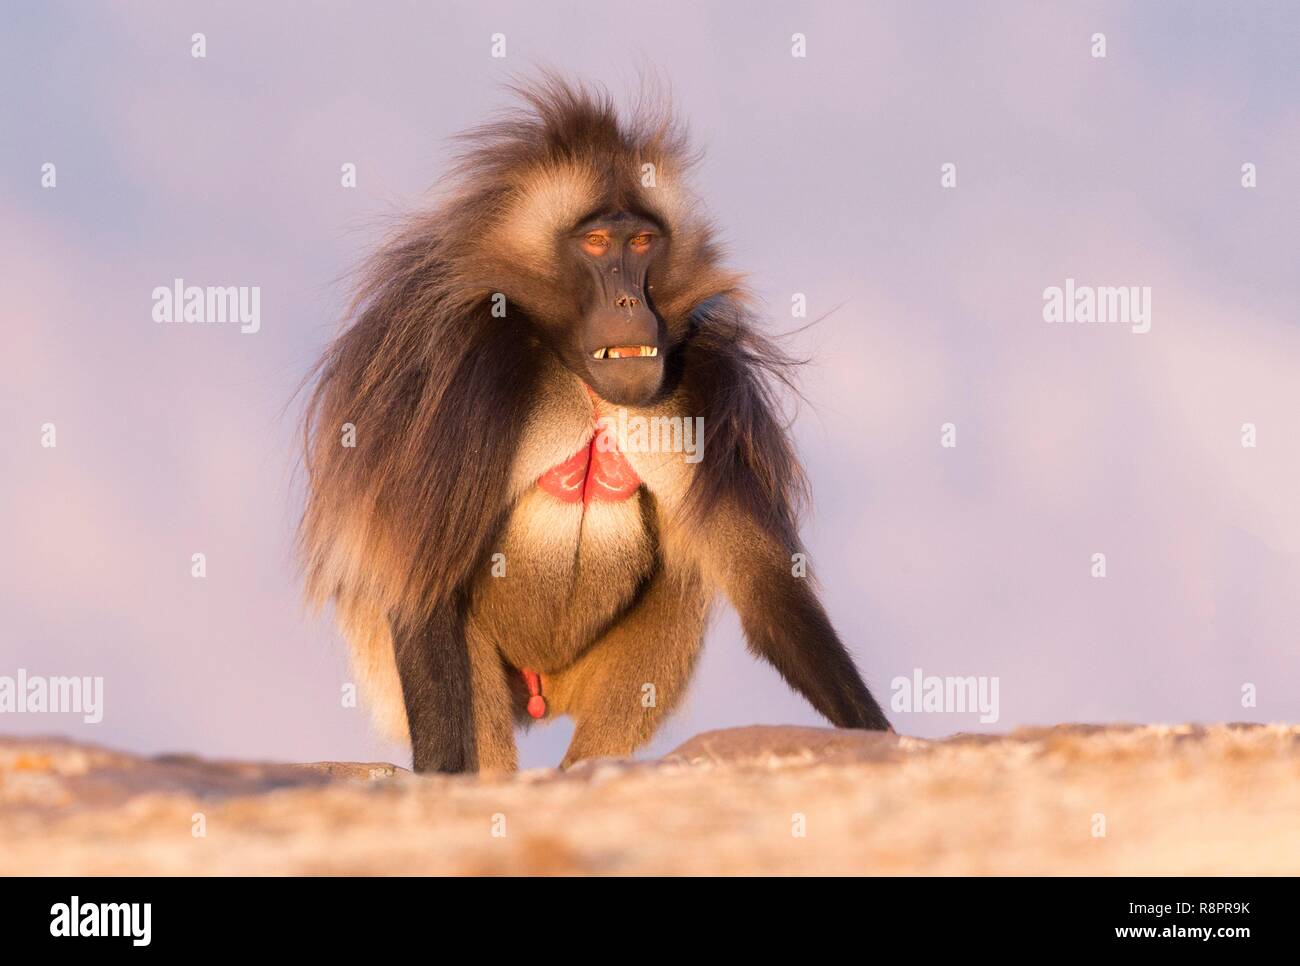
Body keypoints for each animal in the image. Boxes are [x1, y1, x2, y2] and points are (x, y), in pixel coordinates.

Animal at [299, 76, 890, 774]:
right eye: (597, 245)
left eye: (640, 243)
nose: (629, 301)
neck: (580, 379)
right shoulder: (469, 373)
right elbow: (426, 592)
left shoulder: (697, 388)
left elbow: (767, 587)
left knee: (682, 583)